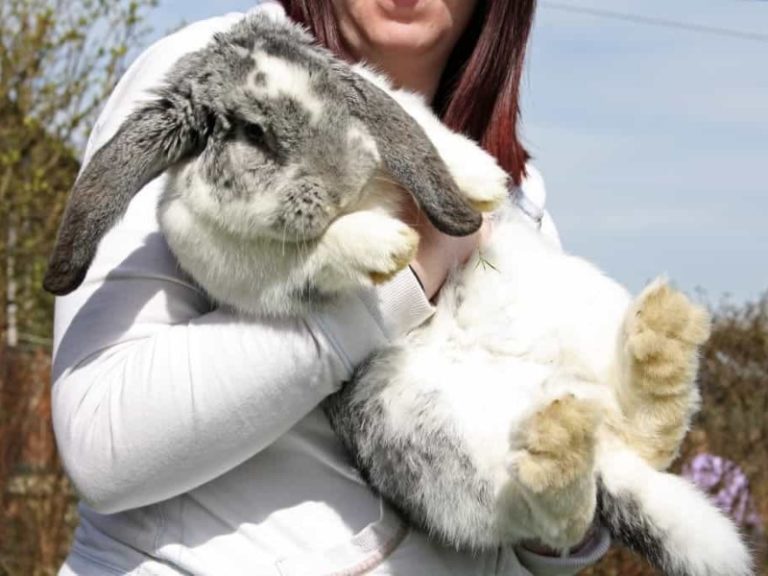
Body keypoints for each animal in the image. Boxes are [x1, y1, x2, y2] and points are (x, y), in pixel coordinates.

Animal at [43, 13, 507, 316]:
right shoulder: (231, 266)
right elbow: (310, 257)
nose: (344, 183)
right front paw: (388, 245)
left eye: (339, 98)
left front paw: (487, 182)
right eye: (252, 132)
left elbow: (423, 124)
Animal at [325, 195, 755, 576]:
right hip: (422, 431)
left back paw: (663, 335)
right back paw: (559, 445)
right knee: (551, 515)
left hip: (570, 306)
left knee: (643, 434)